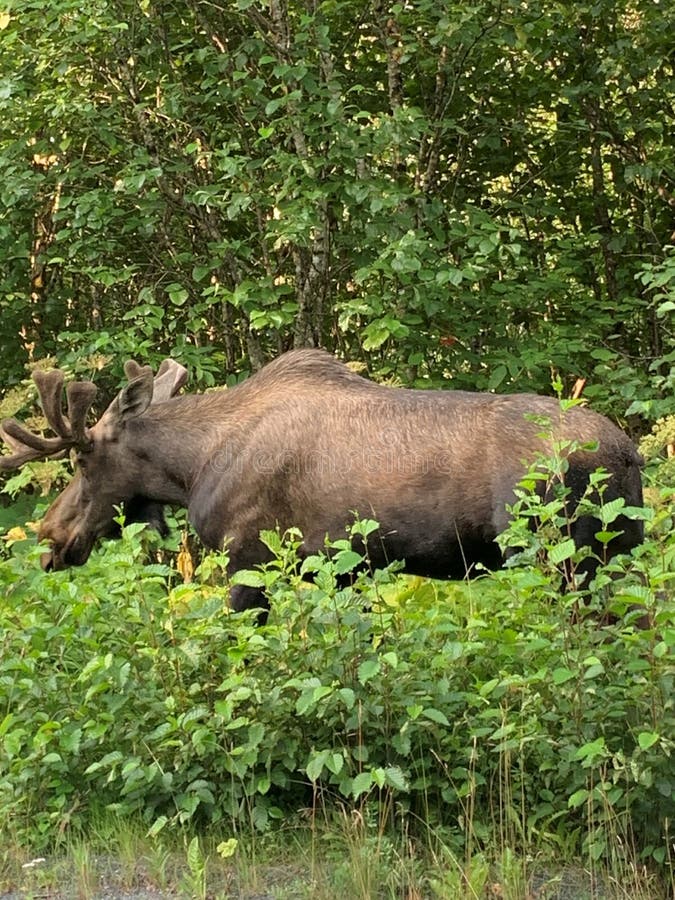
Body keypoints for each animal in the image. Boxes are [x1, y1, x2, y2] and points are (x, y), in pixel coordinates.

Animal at [0, 350, 644, 617]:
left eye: (84, 461)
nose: (50, 536)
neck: (194, 466)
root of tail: (628, 455)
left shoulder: (248, 559)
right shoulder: (344, 566)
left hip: (557, 557)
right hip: (615, 555)